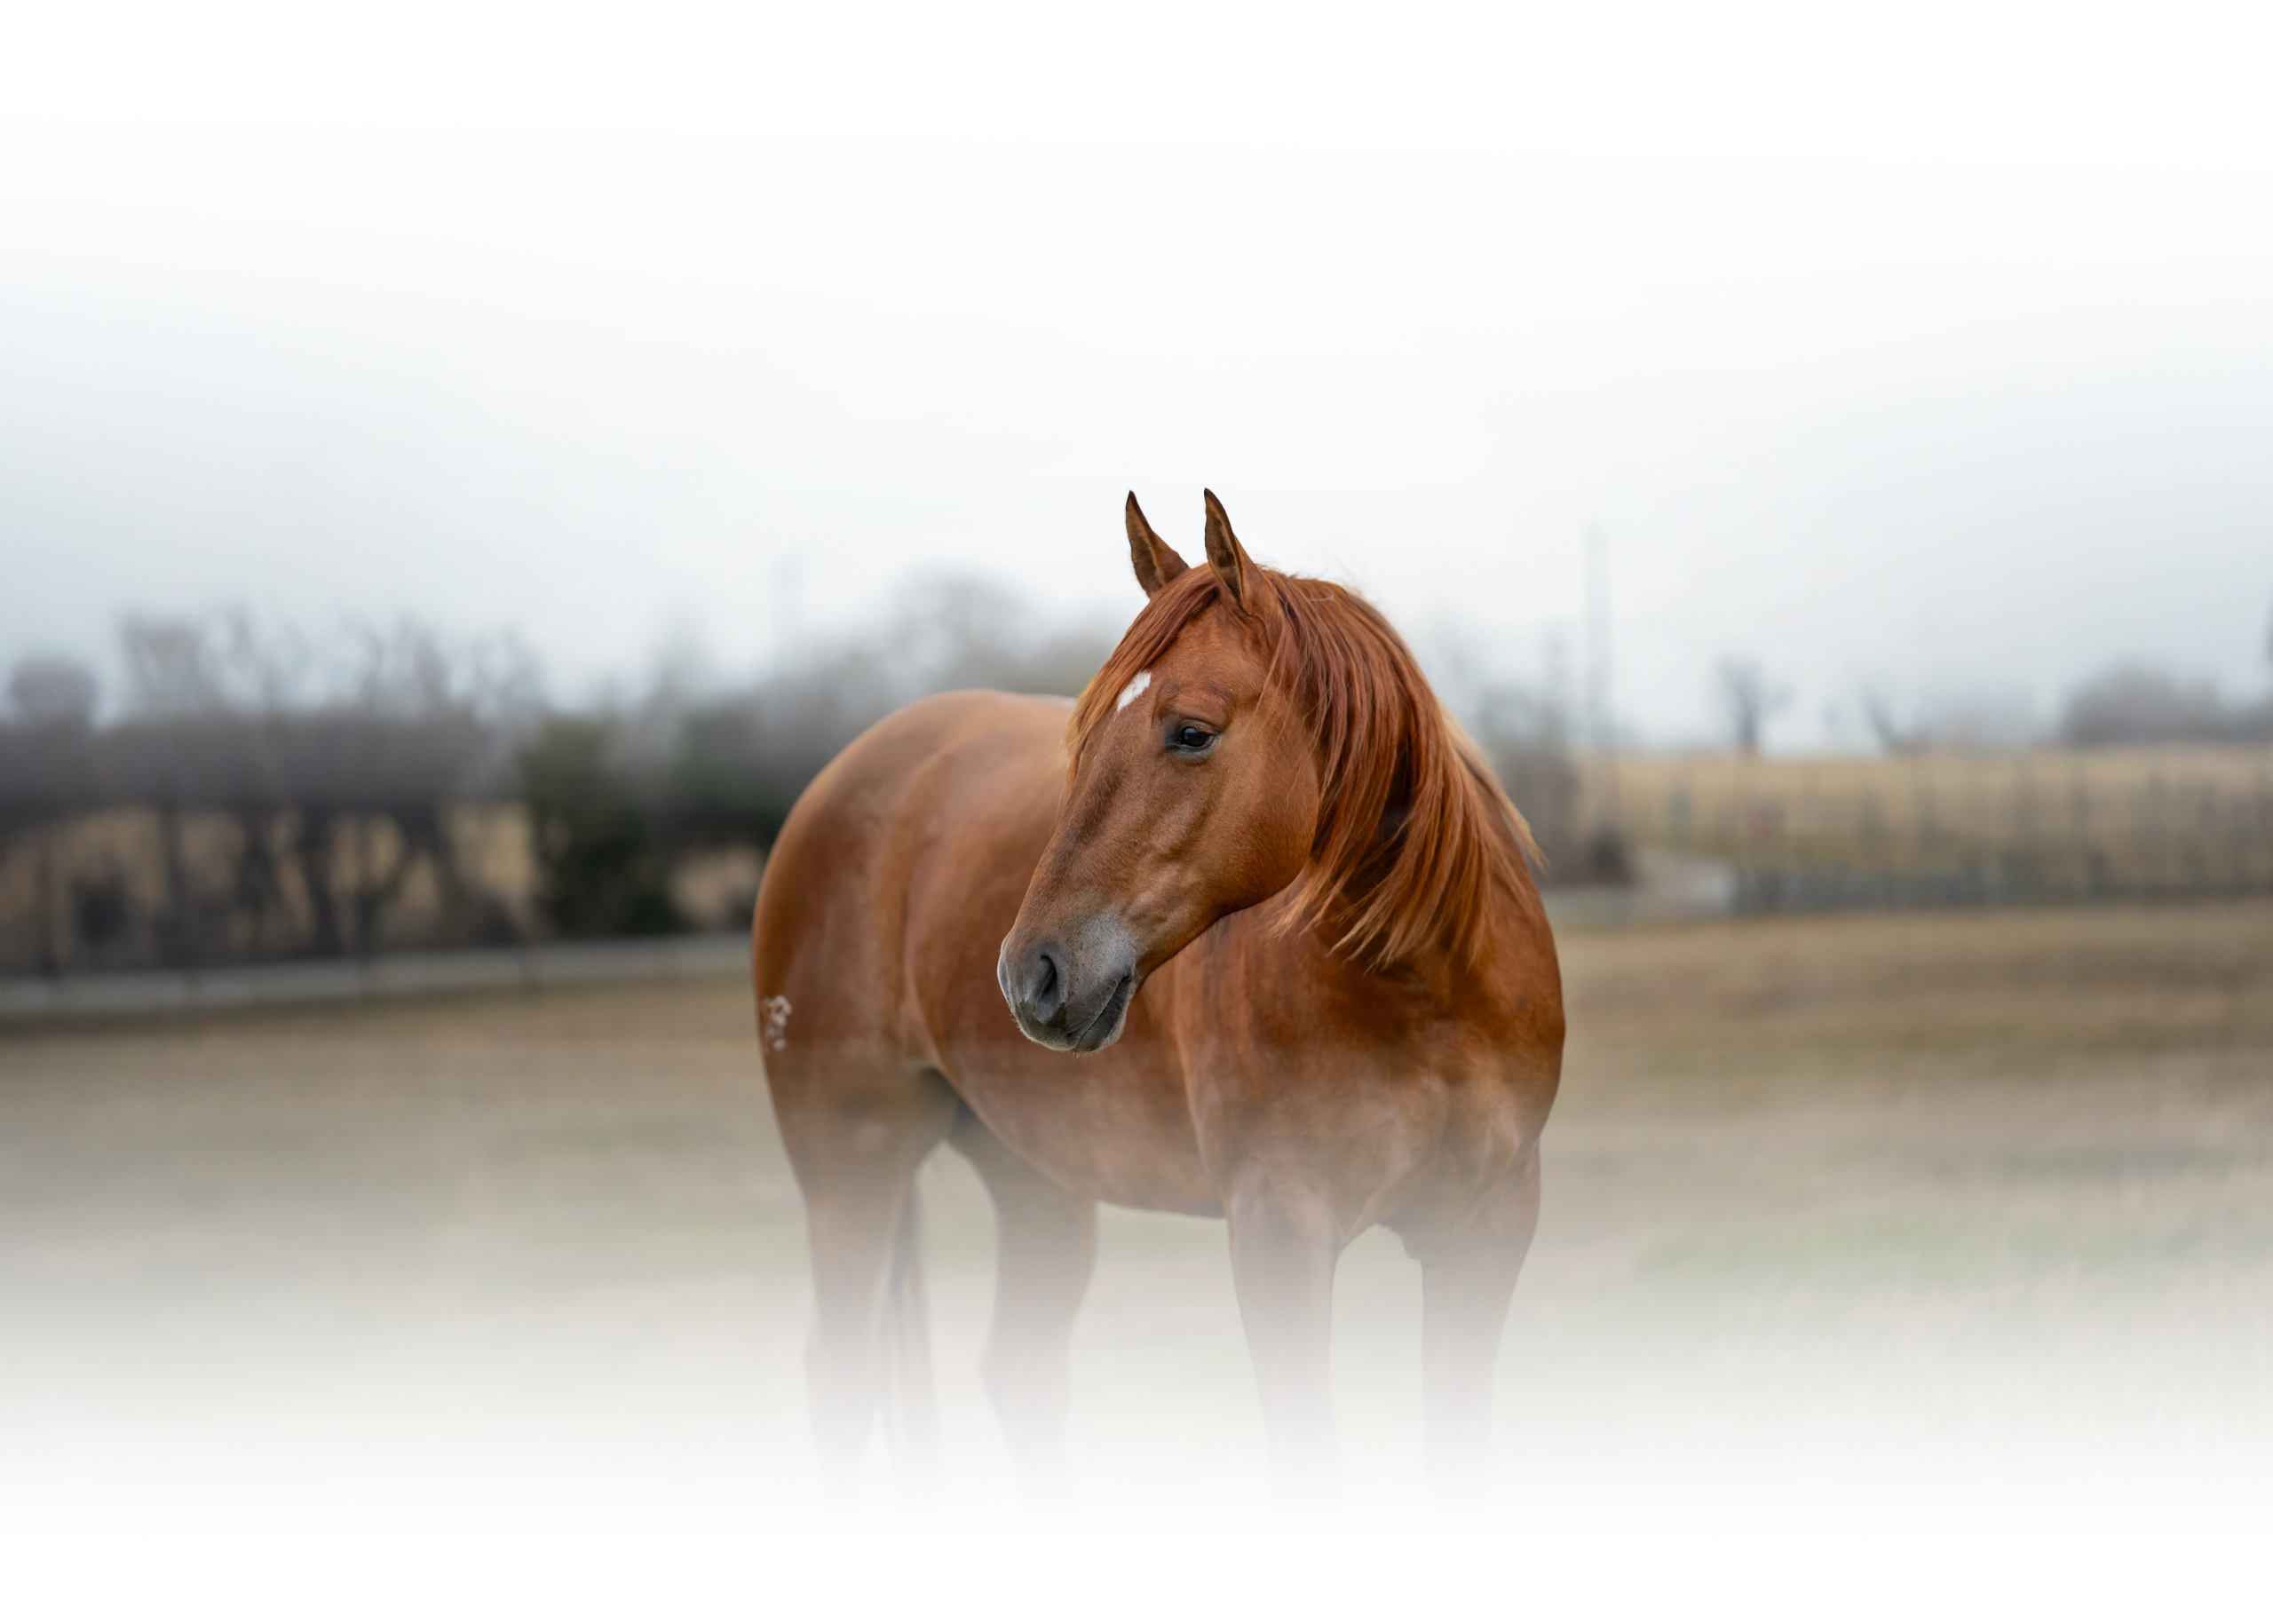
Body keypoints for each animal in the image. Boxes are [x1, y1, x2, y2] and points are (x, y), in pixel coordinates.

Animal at [752, 490, 1564, 1561]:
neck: (1424, 999)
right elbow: (1309, 1491)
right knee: (841, 1398)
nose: (1032, 971)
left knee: (1023, 1384)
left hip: (1038, 1184)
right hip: (853, 1172)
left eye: (1189, 732)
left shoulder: (1492, 1224)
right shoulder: (1277, 1229)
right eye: (1088, 732)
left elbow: (1459, 1466)